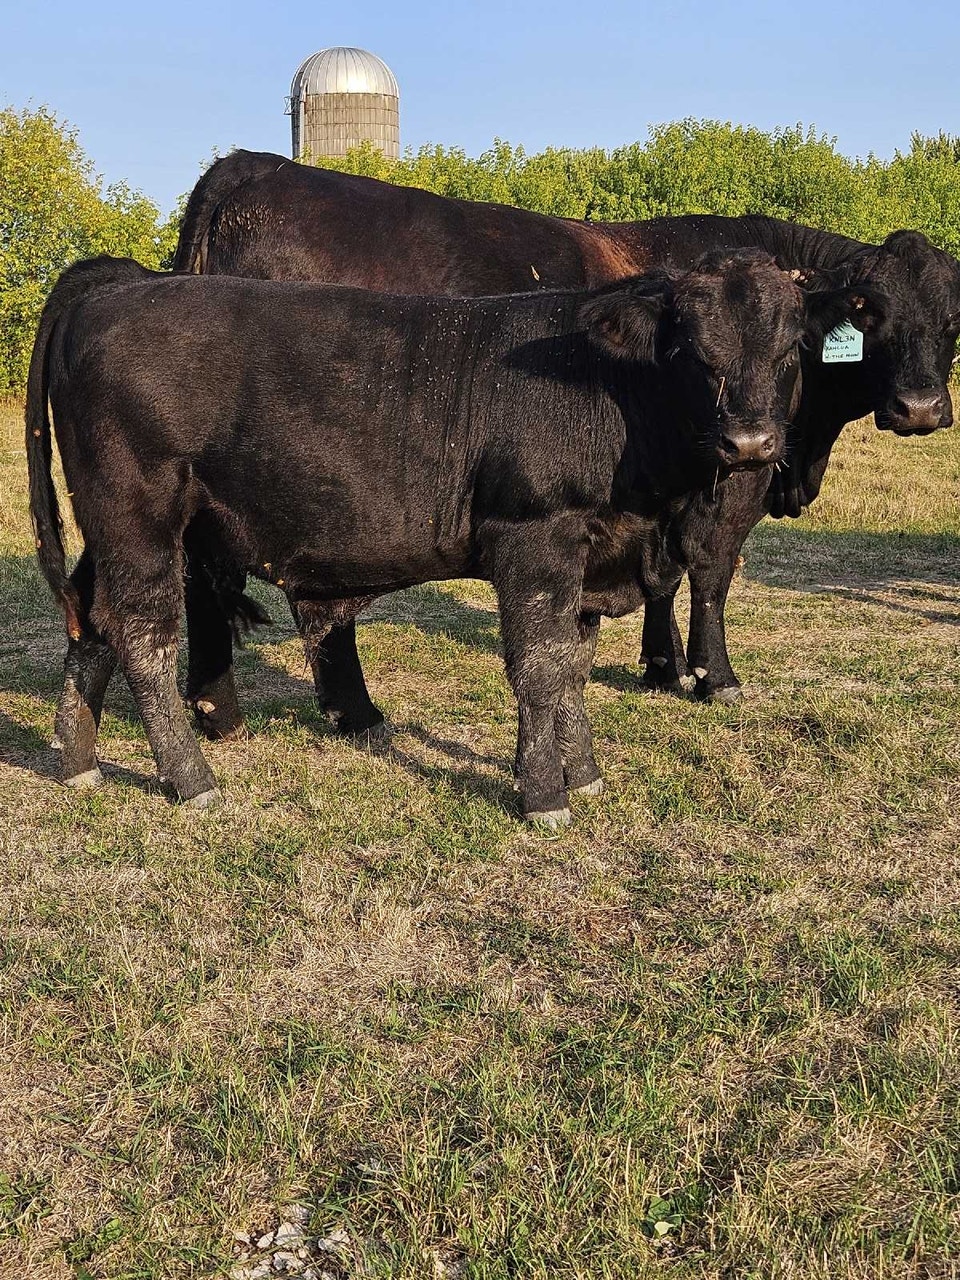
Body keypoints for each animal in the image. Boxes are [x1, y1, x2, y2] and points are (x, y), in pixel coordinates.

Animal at [29, 251, 879, 823]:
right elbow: (538, 667)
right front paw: (544, 794)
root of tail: (115, 286)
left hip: (111, 528)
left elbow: (572, 668)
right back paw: (193, 780)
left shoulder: (590, 555)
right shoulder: (535, 539)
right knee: (144, 639)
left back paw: (78, 761)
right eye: (693, 352)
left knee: (90, 624)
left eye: (789, 351)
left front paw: (584, 771)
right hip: (139, 516)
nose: (751, 443)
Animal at [157, 151, 960, 739]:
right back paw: (337, 712)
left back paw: (219, 711)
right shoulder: (734, 471)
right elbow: (710, 569)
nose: (920, 409)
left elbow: (663, 576)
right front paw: (715, 676)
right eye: (873, 314)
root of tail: (251, 168)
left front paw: (661, 665)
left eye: (953, 317)